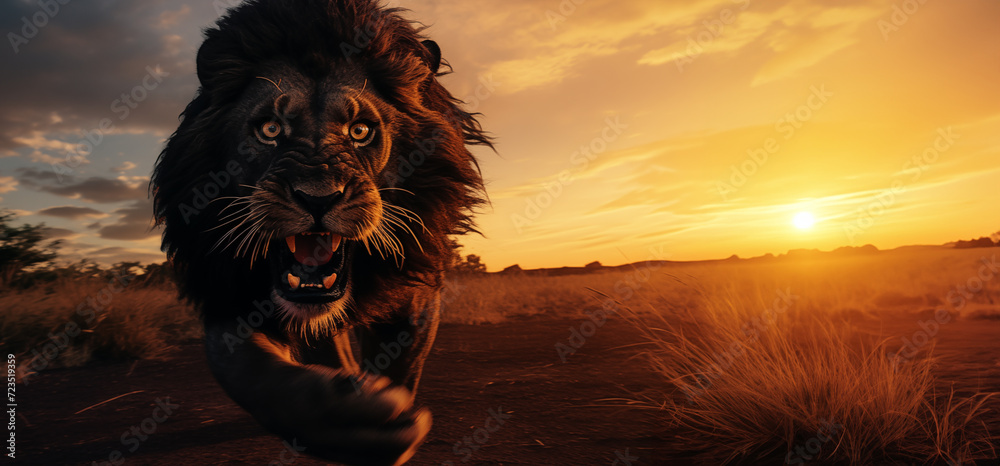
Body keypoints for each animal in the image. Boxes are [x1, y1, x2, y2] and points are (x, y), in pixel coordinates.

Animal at [150, 0, 489, 464]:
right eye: (270, 129)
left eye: (360, 130)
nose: (317, 197)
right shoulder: (230, 290)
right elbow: (250, 372)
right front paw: (352, 418)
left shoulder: (414, 291)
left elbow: (401, 364)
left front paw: (389, 411)